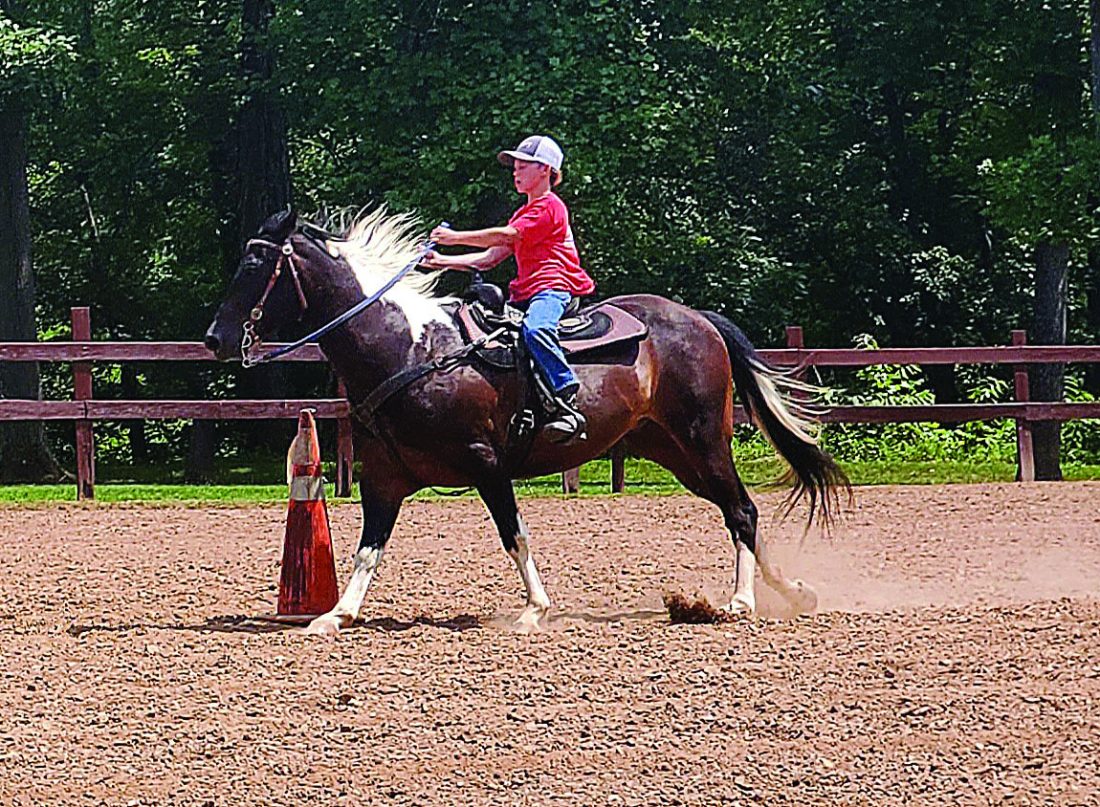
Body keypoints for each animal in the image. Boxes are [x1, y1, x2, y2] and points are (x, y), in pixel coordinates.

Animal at [204, 208, 850, 636]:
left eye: (257, 264)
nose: (215, 339)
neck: (410, 349)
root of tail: (699, 319)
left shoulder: (487, 462)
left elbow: (513, 533)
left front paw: (534, 609)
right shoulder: (383, 476)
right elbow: (369, 548)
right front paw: (335, 615)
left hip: (703, 438)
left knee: (740, 510)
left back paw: (742, 602)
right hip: (671, 451)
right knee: (739, 511)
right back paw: (792, 592)